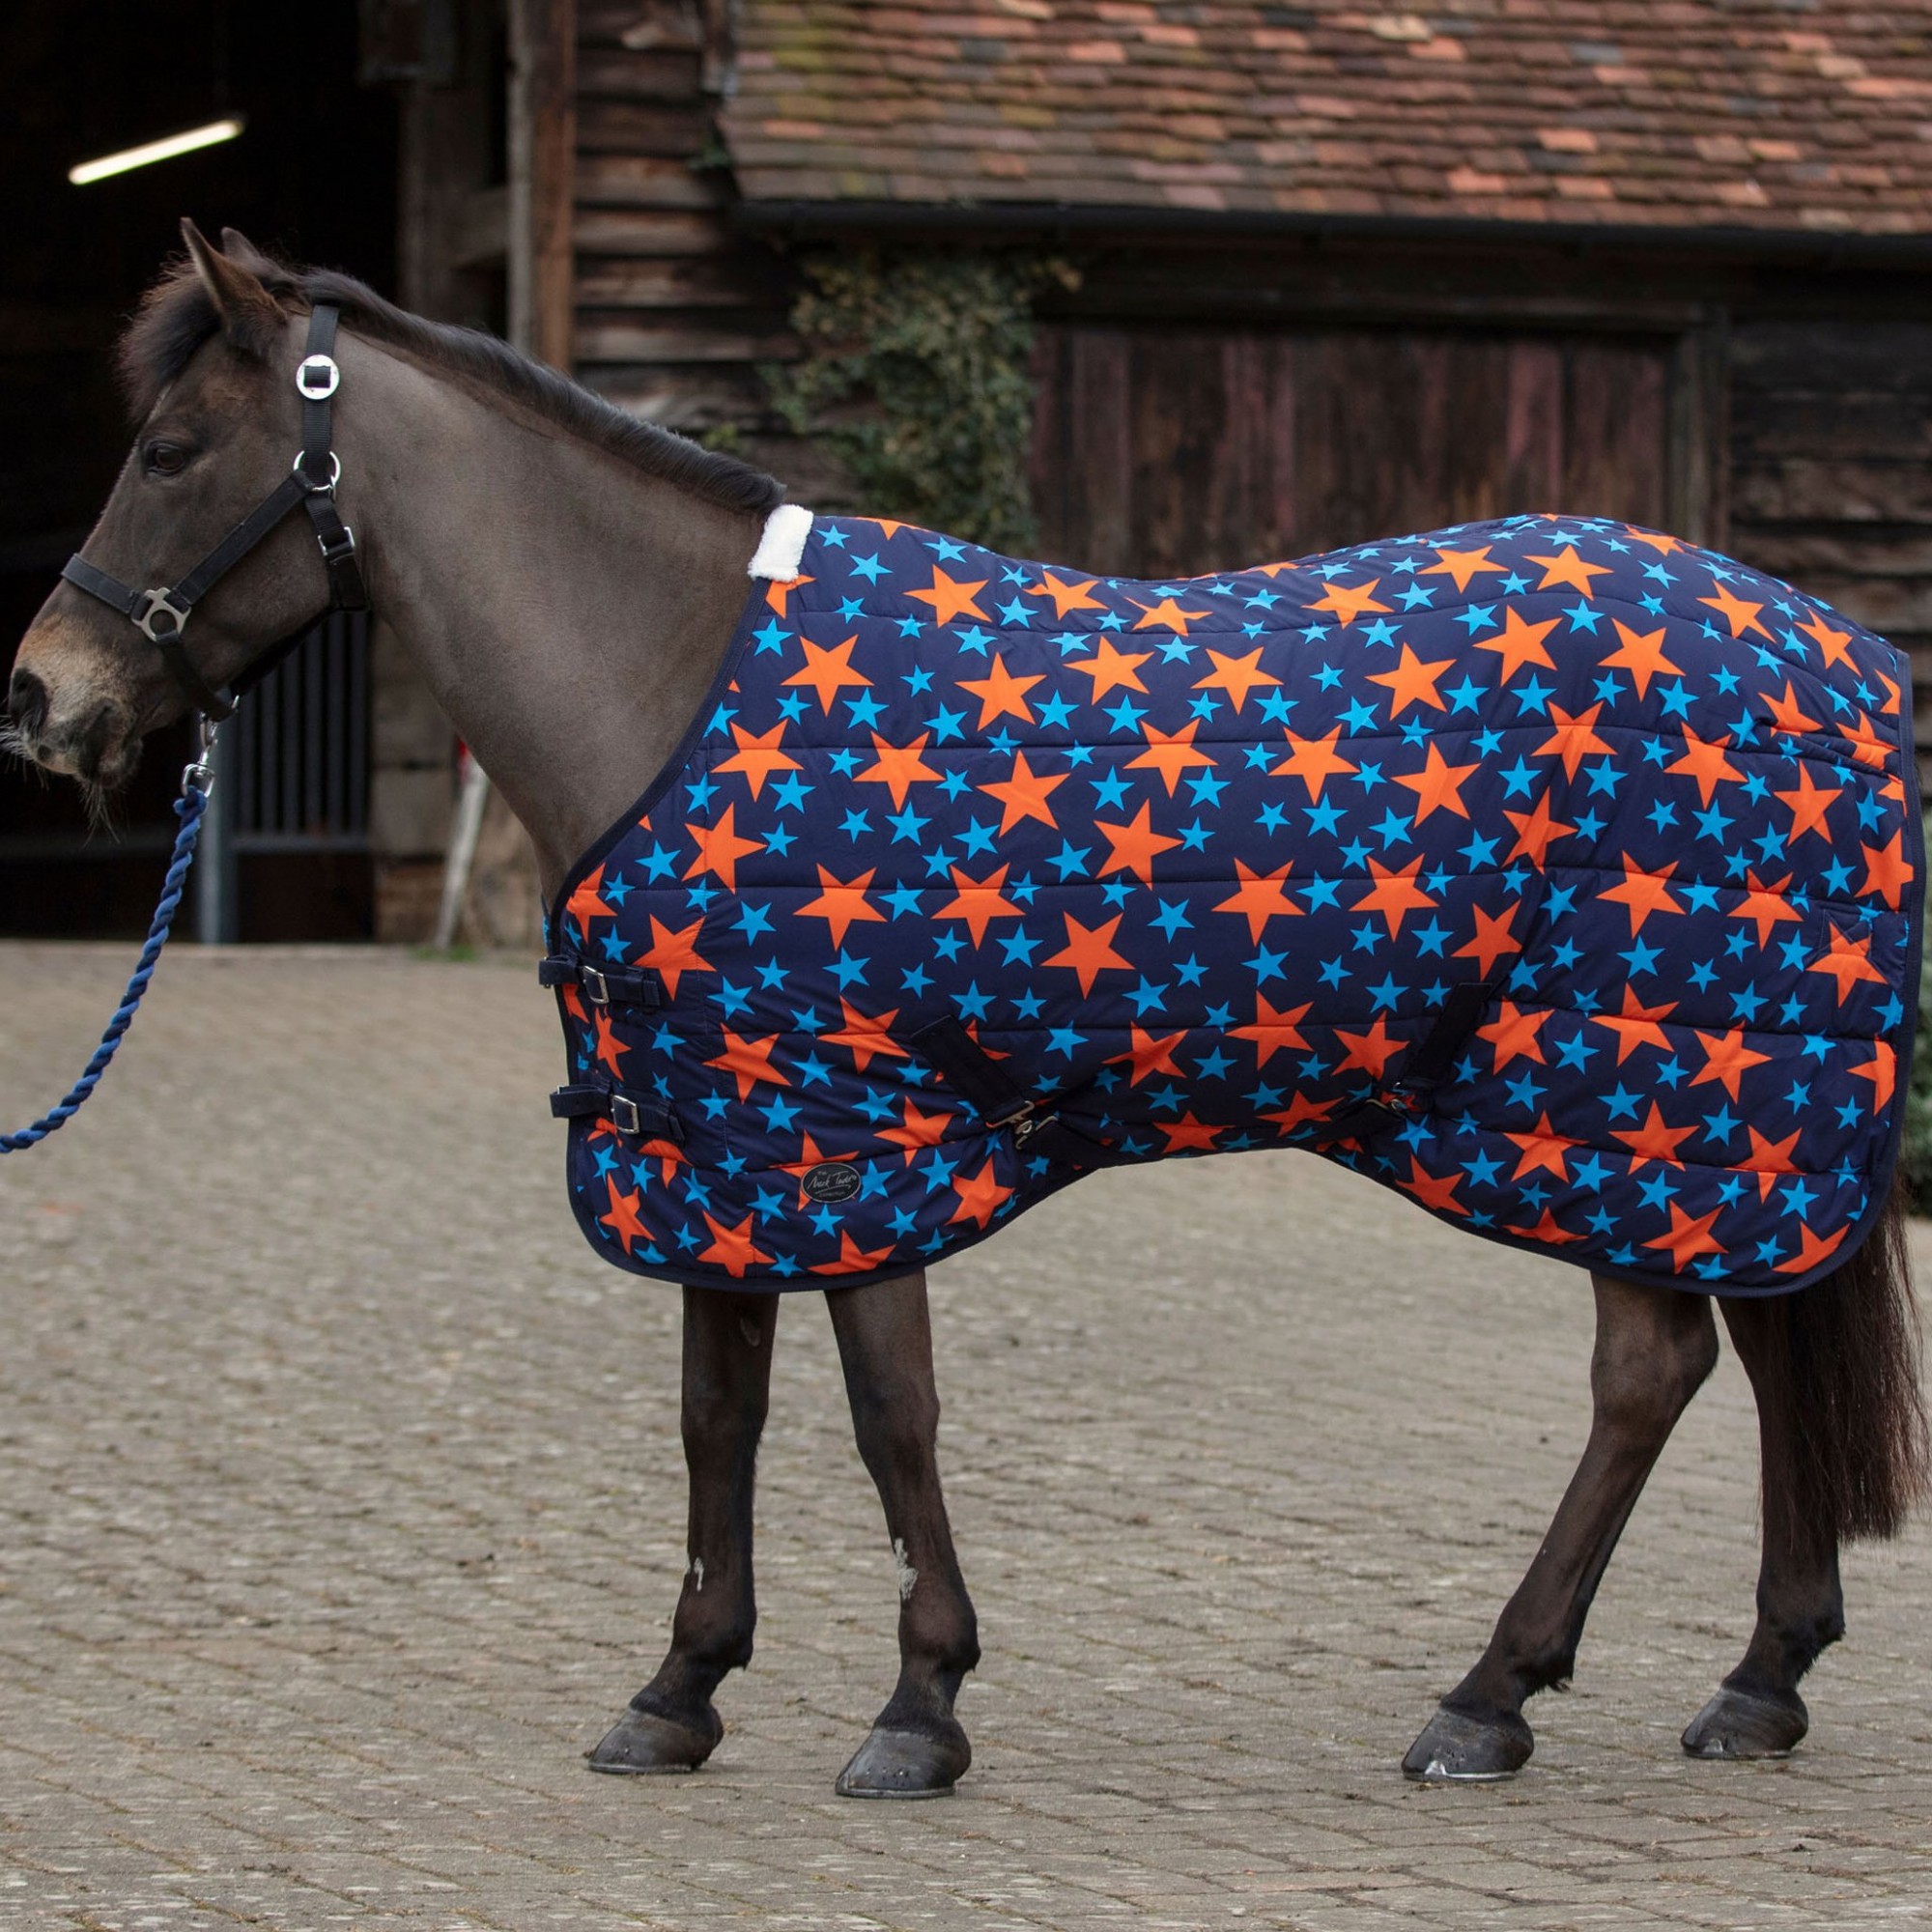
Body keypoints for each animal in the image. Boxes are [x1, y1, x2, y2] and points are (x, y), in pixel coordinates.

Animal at [8, 222, 1927, 1797]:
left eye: (170, 451)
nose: (44, 700)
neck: (677, 682)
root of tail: (1829, 645)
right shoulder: (723, 1137)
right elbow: (719, 1416)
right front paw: (678, 1692)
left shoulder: (858, 1135)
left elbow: (887, 1416)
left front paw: (917, 1706)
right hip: (1715, 1112)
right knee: (1764, 1344)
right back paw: (1759, 1677)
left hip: (1626, 1096)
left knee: (1648, 1371)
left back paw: (1489, 1697)